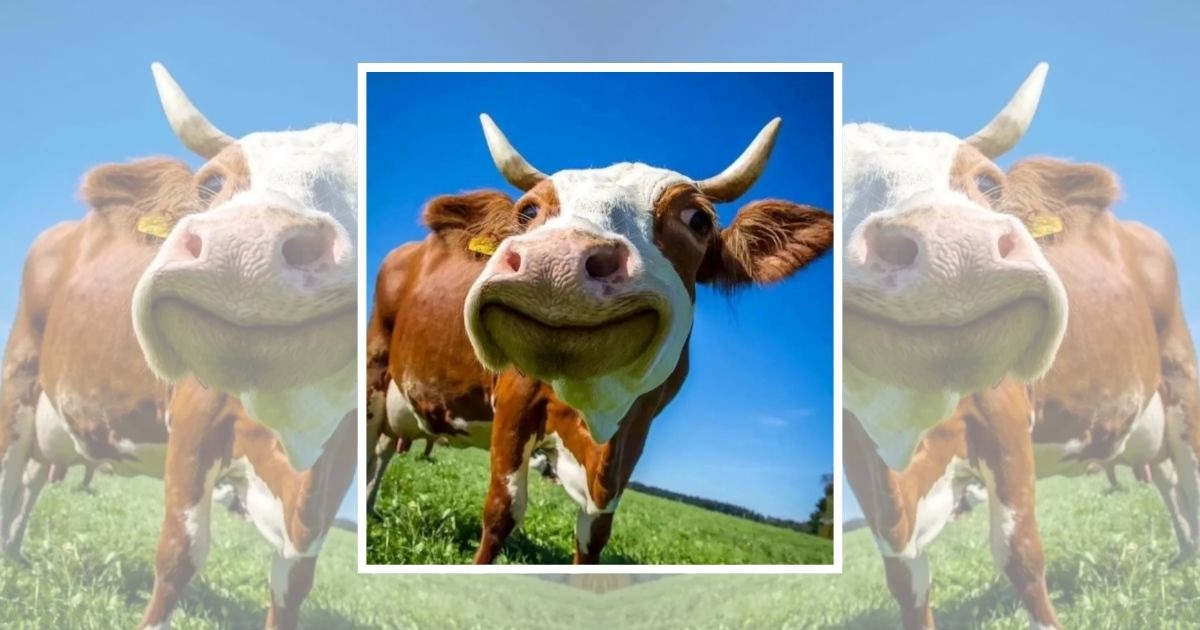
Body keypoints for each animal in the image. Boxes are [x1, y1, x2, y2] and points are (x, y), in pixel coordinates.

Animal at [0, 63, 356, 629]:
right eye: (211, 184)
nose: (246, 247)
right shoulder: (195, 420)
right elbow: (180, 552)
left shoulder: (332, 475)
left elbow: (292, 584)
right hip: (21, 373)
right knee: (10, 469)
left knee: (30, 479)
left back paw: (15, 551)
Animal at [367, 114, 833, 563]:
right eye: (528, 212)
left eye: (698, 220)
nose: (554, 261)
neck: (596, 414)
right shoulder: (515, 402)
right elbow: (502, 511)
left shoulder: (633, 439)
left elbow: (594, 536)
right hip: (376, 367)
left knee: (384, 448)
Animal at [843, 62, 1200, 629]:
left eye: (988, 184)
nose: (954, 247)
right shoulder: (865, 472)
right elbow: (907, 584)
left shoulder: (1004, 420)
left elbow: (1019, 552)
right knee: (1168, 479)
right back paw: (1184, 552)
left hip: (1178, 372)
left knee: (1189, 470)